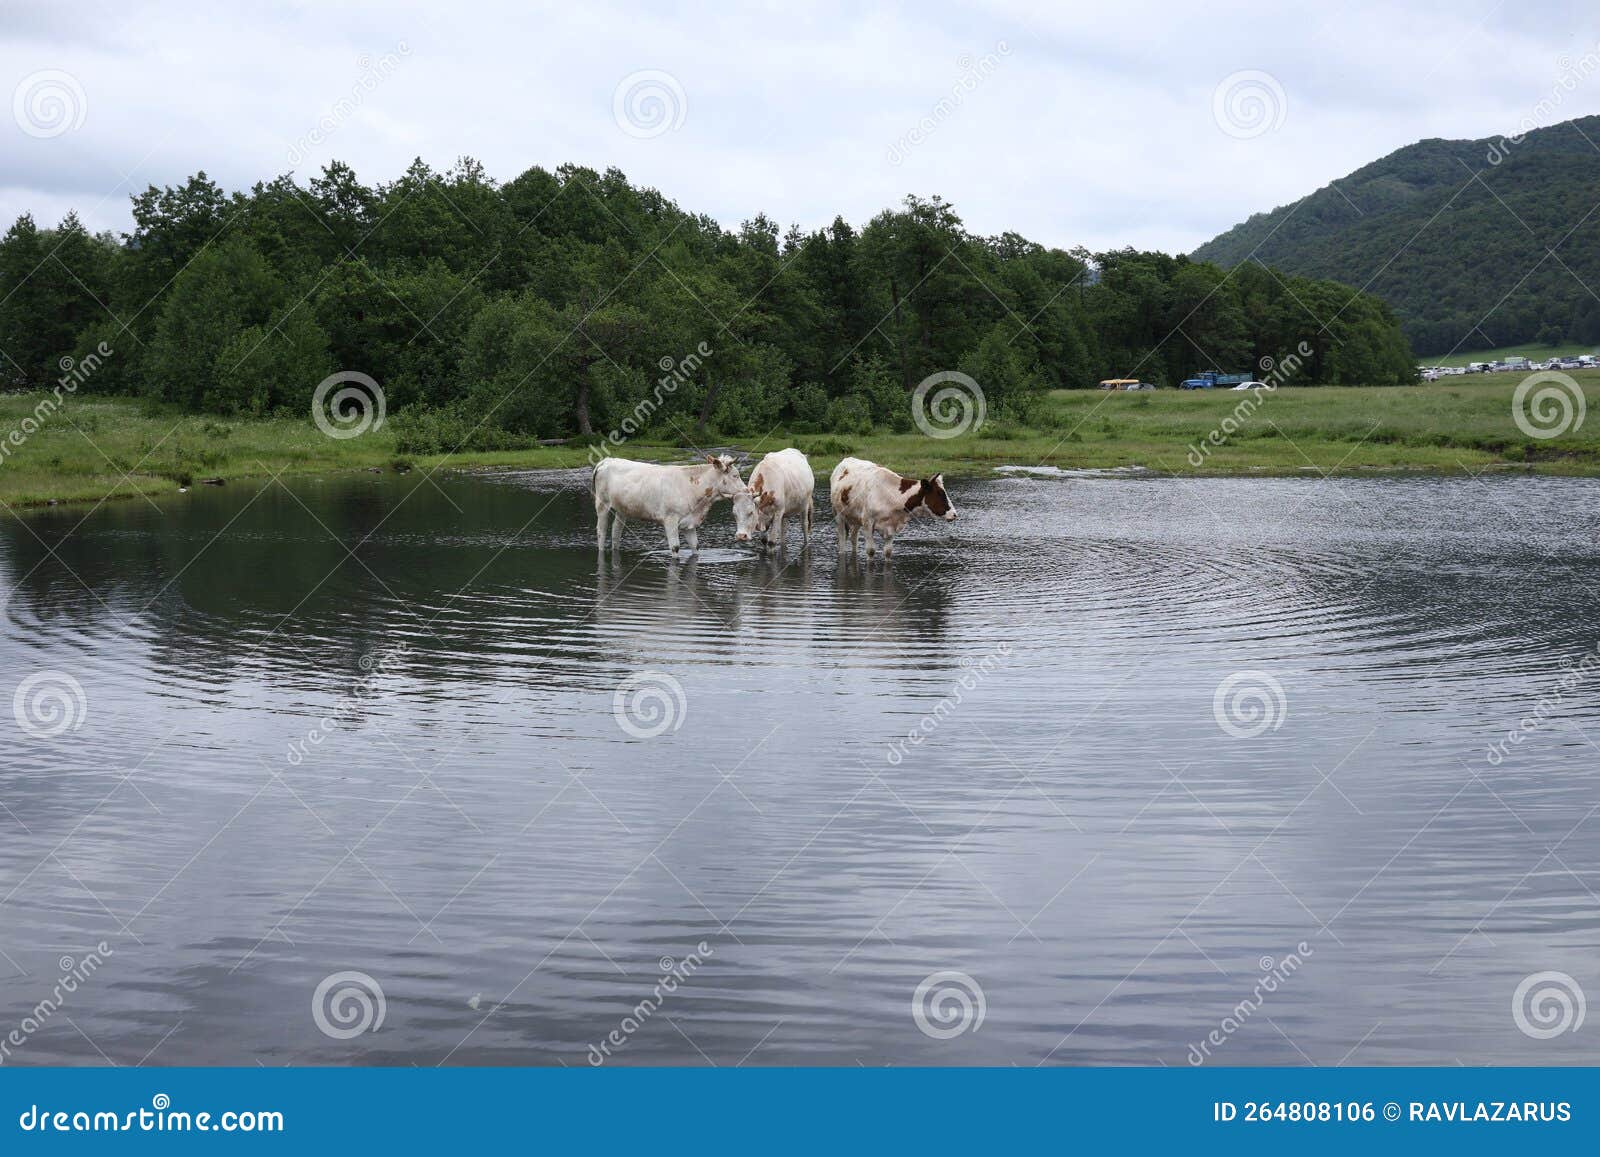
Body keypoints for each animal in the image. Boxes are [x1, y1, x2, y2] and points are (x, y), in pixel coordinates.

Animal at [593, 454, 746, 555]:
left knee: (616, 532)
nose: (747, 490)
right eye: (735, 476)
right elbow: (675, 548)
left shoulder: (689, 523)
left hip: (622, 509)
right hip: (602, 503)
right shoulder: (670, 520)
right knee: (601, 531)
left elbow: (696, 546)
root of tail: (607, 460)